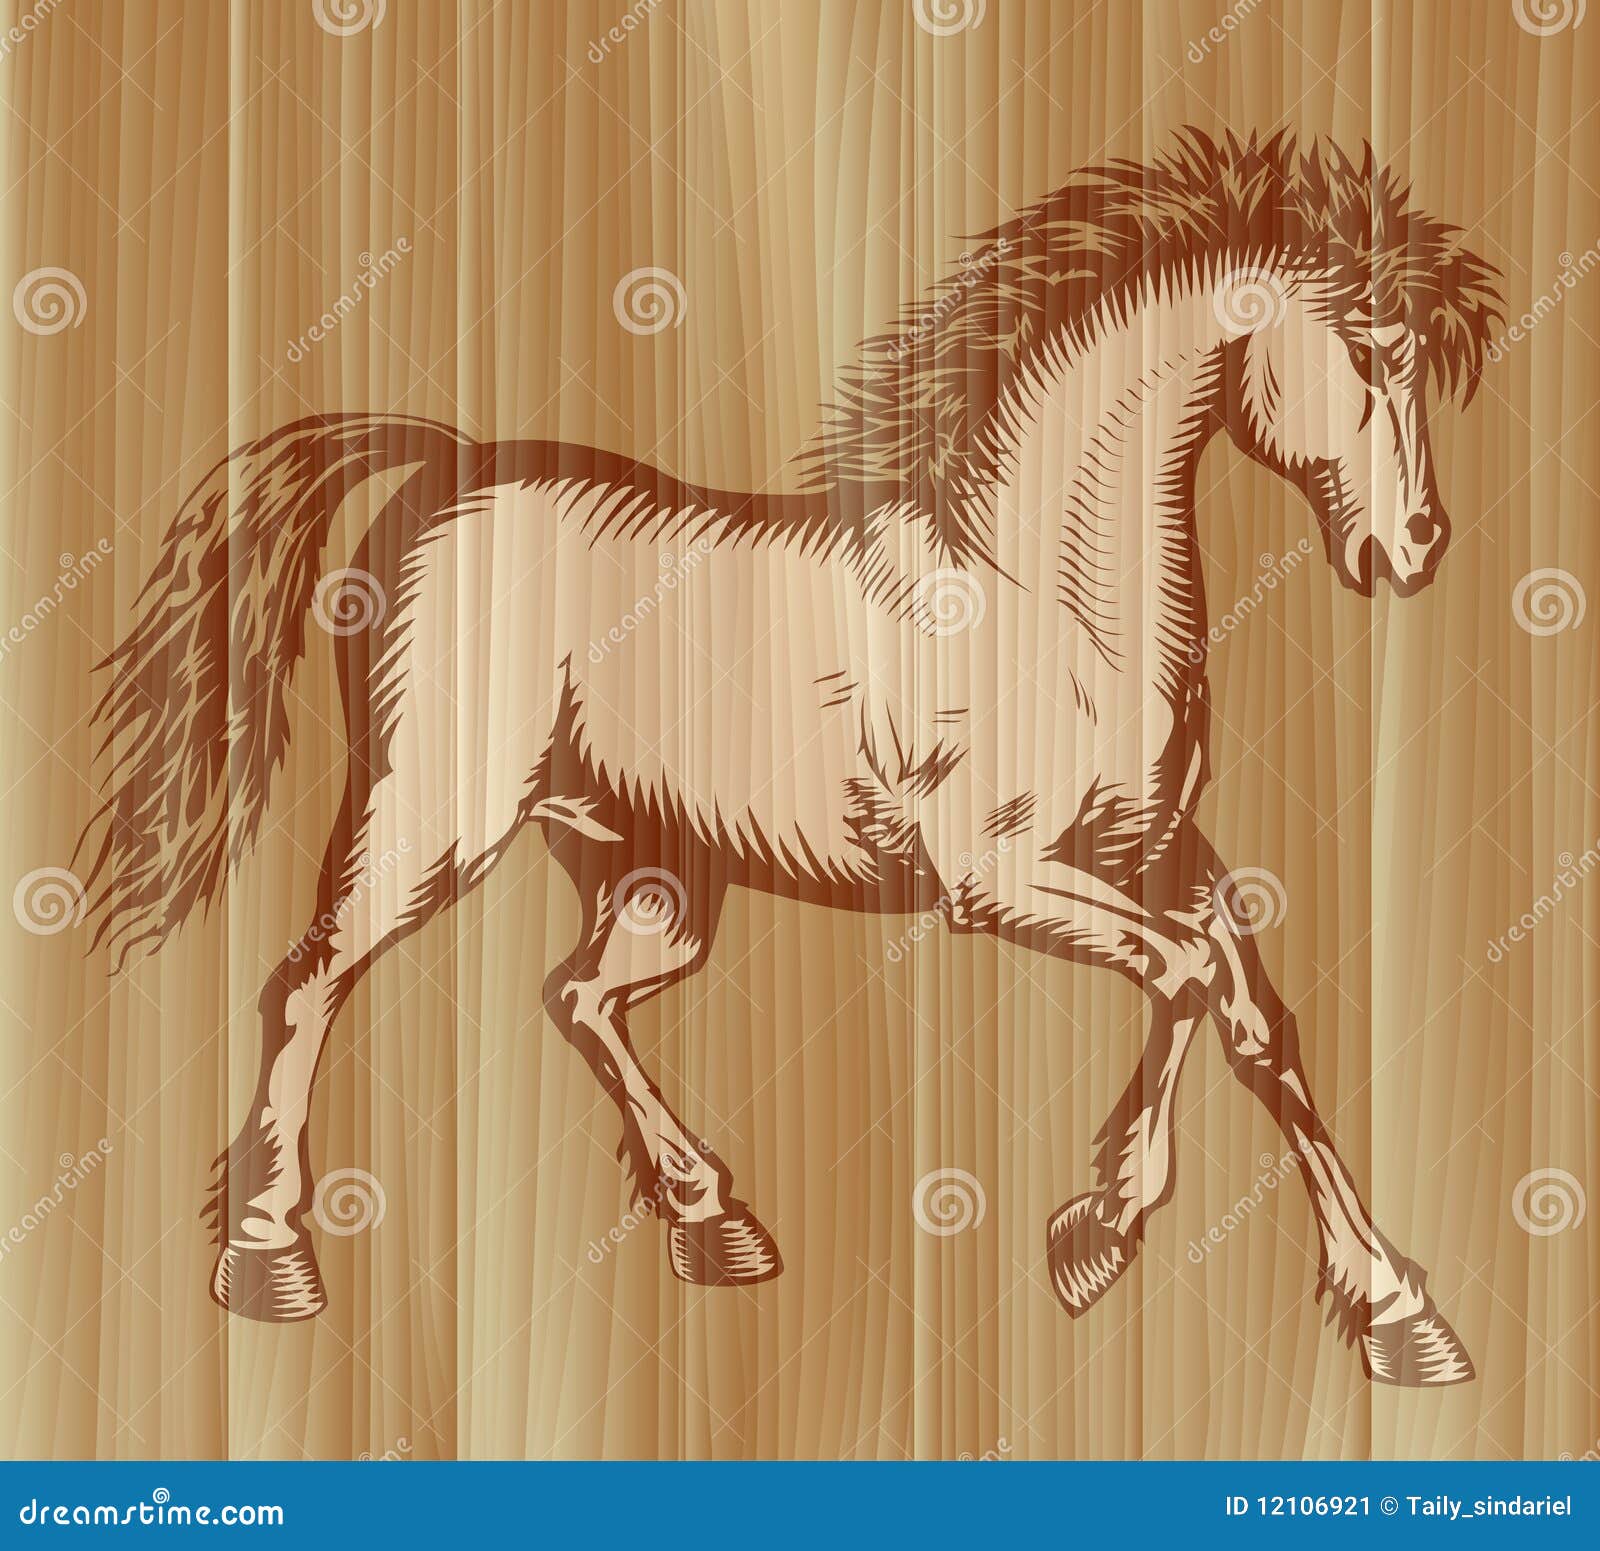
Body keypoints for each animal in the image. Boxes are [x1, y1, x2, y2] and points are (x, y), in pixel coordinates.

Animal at [79, 129, 1501, 1387]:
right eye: (1368, 351)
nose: (1416, 547)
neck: (1040, 597)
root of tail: (454, 467)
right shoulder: (994, 878)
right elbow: (1189, 976)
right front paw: (1095, 1236)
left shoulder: (1155, 850)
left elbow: (1256, 1016)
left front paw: (1399, 1318)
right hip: (431, 819)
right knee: (307, 982)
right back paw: (270, 1263)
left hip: (650, 876)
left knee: (573, 996)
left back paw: (717, 1229)